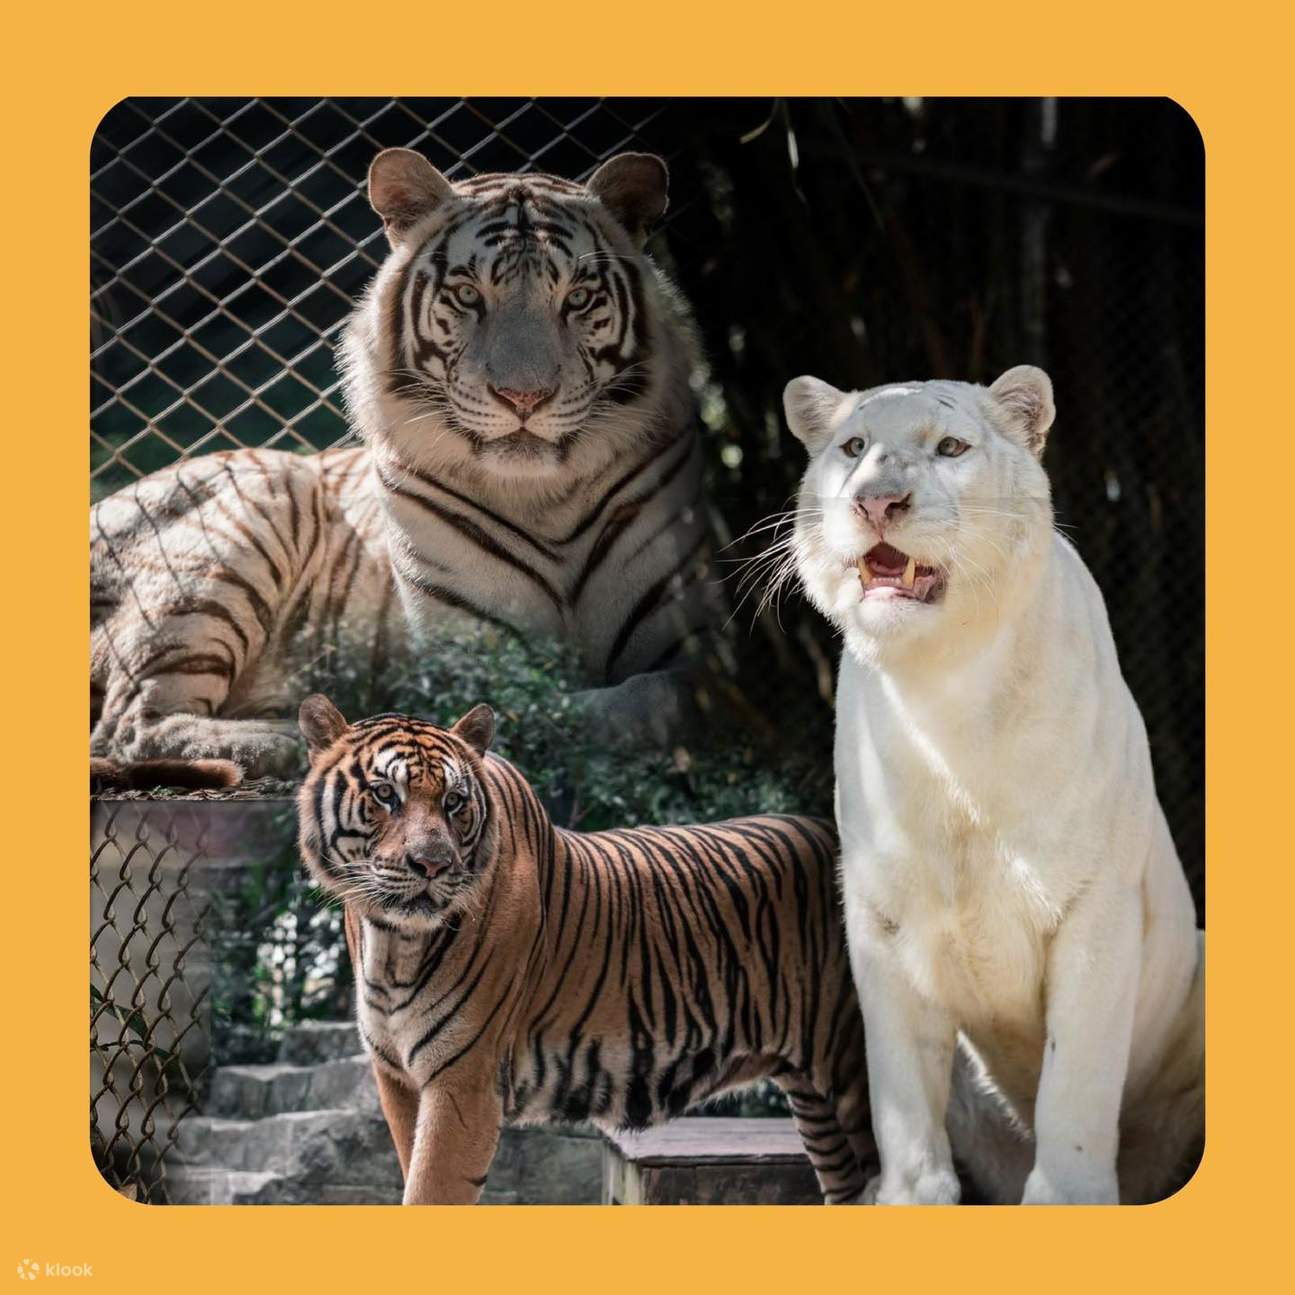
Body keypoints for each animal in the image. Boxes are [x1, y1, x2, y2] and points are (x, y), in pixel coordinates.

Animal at [91, 149, 719, 782]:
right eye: (467, 295)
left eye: (579, 298)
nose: (523, 398)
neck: (545, 498)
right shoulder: (468, 654)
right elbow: (534, 712)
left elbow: (663, 694)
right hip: (241, 525)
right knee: (130, 729)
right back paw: (292, 738)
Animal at [296, 694, 875, 1205]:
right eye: (384, 794)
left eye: (453, 802)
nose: (433, 865)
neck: (392, 942)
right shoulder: (397, 1078)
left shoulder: (464, 1079)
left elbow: (429, 1193)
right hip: (815, 1101)